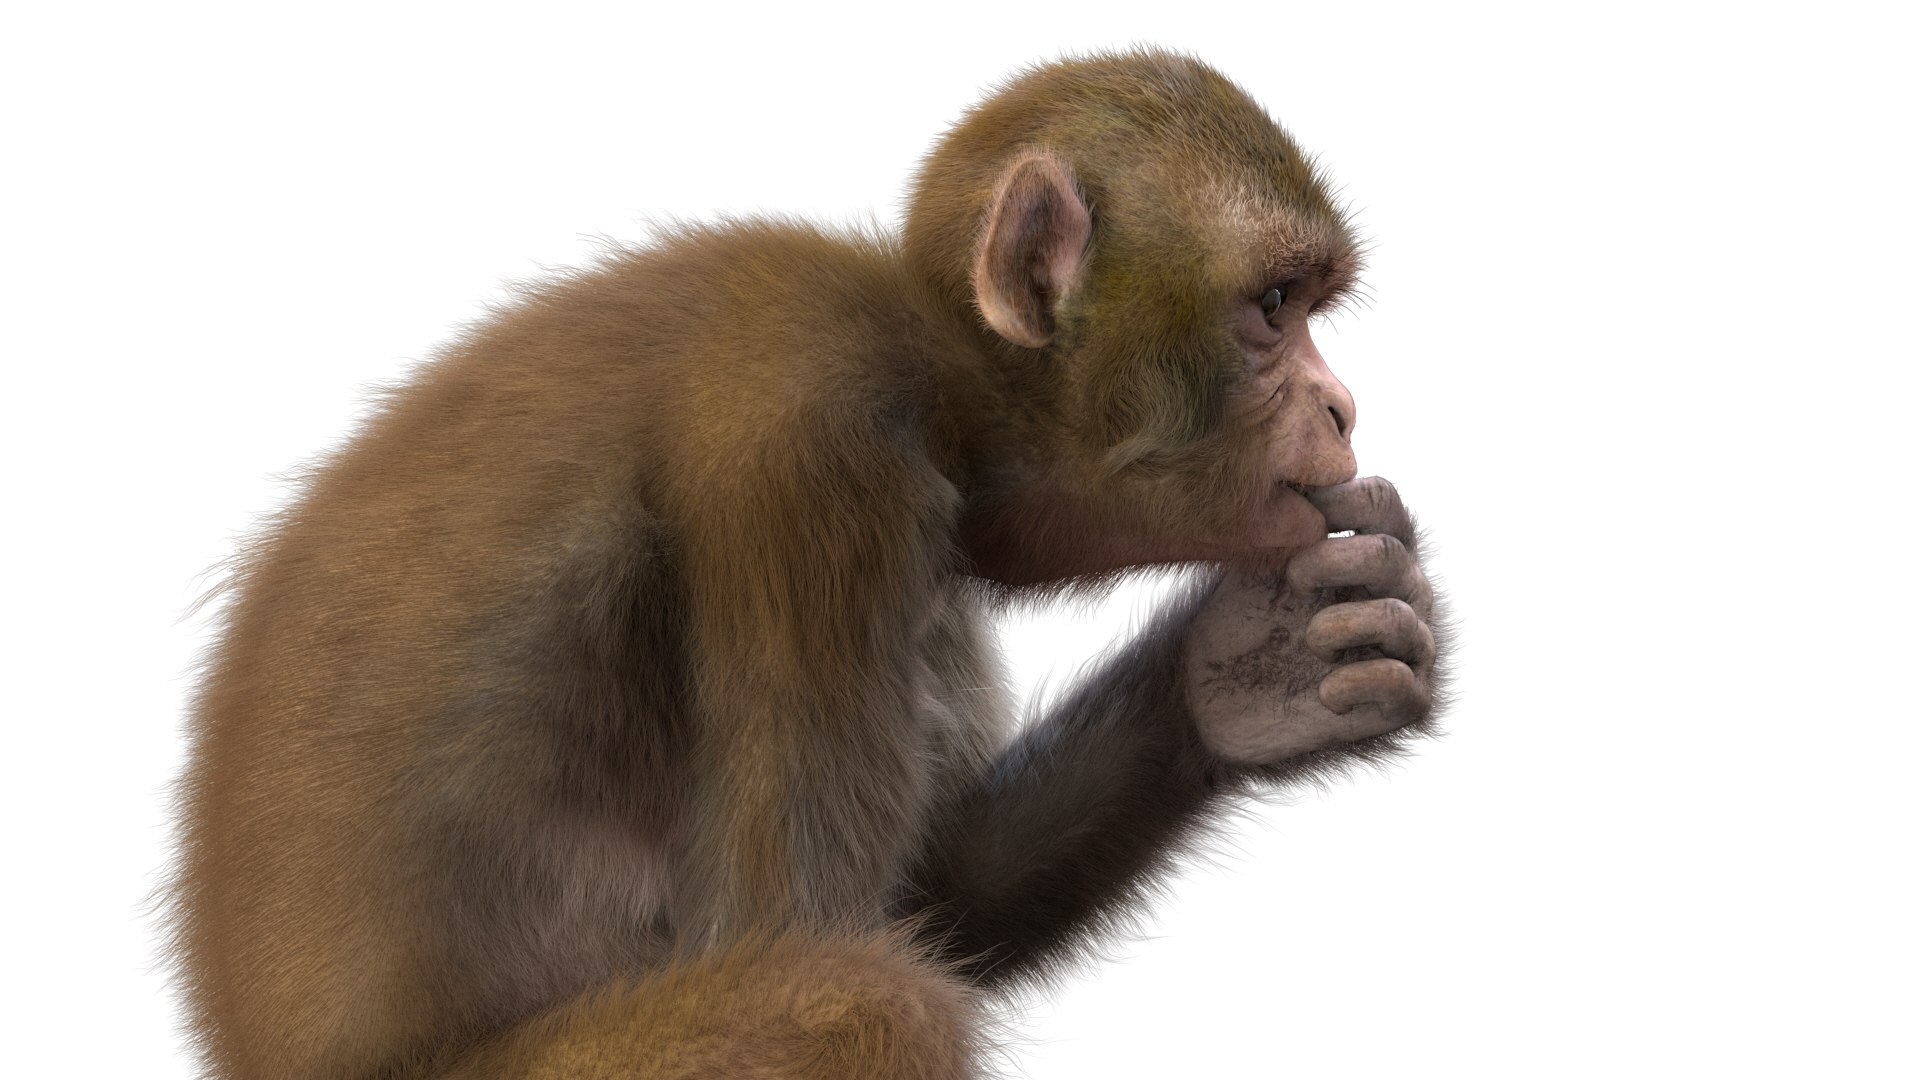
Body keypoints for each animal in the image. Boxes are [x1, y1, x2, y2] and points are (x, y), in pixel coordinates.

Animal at [165, 49, 1446, 1080]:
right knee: (866, 1006)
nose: (1341, 404)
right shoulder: (811, 442)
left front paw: (1244, 679)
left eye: (1313, 303)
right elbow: (799, 933)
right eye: (1273, 306)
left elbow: (934, 904)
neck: (936, 378)